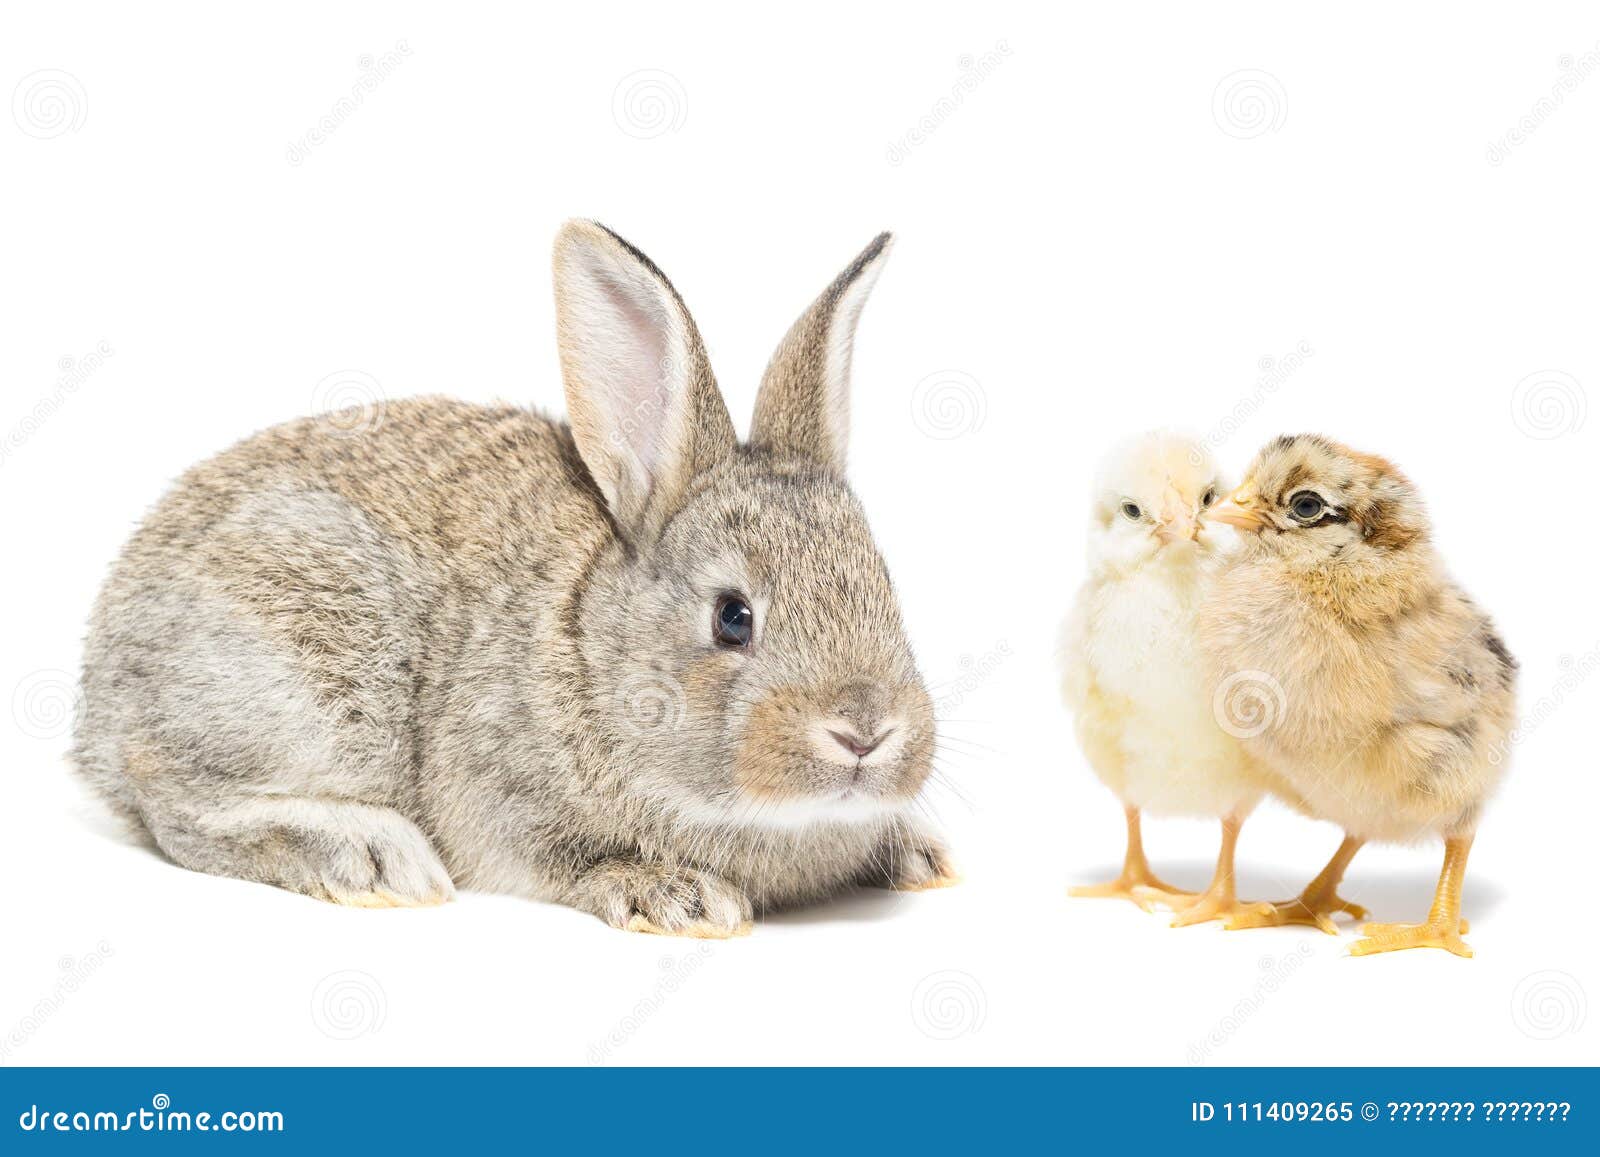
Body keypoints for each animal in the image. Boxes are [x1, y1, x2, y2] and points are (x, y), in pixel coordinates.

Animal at [71, 220, 954, 937]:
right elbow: (568, 858)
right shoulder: (506, 800)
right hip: (299, 668)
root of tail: (98, 698)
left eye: (885, 589)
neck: (593, 653)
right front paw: (678, 895)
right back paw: (374, 855)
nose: (866, 732)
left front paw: (920, 852)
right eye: (732, 616)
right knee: (175, 797)